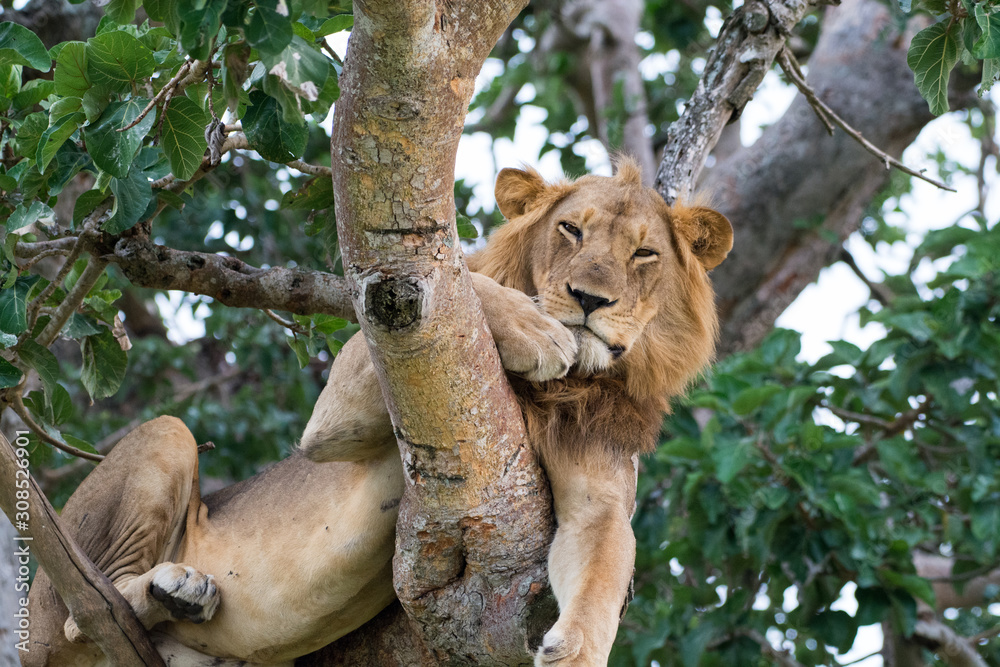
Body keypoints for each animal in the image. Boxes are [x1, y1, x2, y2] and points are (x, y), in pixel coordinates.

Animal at [26, 159, 731, 667]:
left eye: (644, 254)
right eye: (571, 230)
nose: (588, 300)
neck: (569, 391)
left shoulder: (599, 497)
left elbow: (602, 572)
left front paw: (575, 650)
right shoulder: (339, 405)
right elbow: (463, 285)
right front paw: (536, 329)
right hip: (156, 449)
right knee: (86, 613)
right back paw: (177, 586)